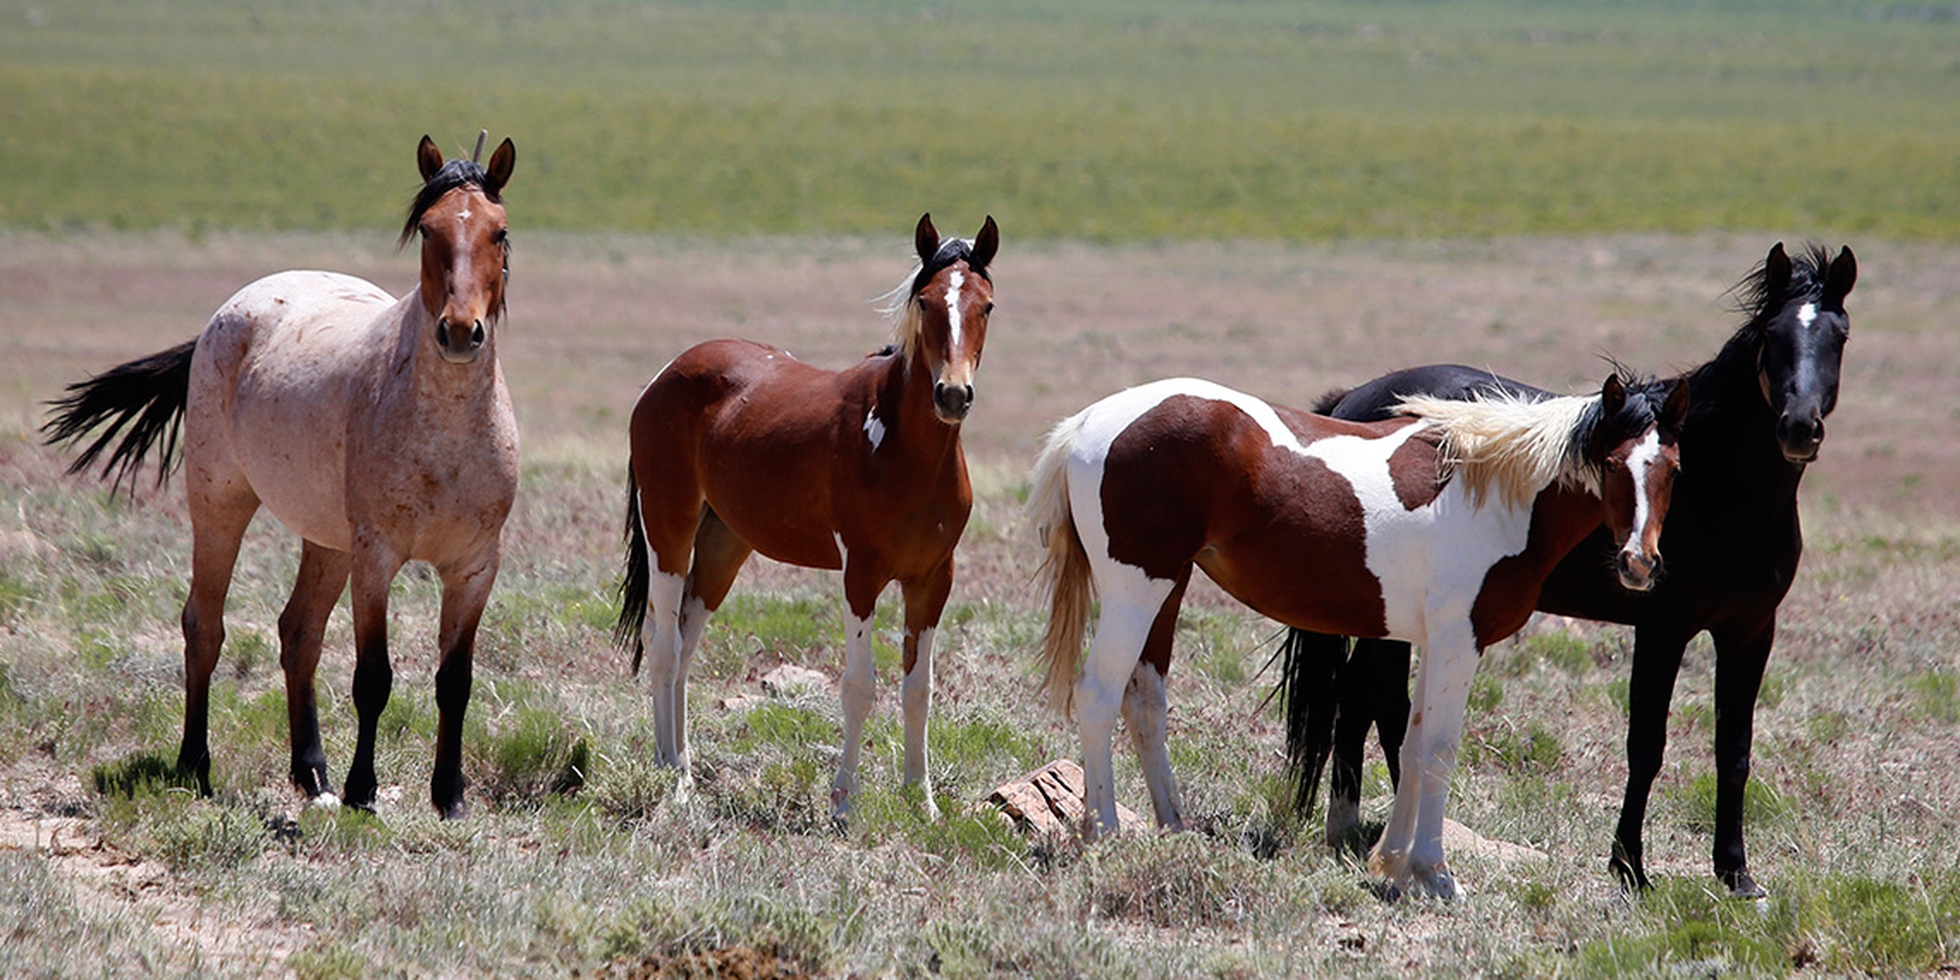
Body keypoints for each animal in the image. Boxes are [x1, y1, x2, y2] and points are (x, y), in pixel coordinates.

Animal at [44, 134, 520, 819]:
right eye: (429, 229)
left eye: (499, 233)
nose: (459, 332)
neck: (448, 432)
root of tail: (233, 309)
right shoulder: (377, 560)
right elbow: (373, 677)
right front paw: (362, 792)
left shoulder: (475, 568)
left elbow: (455, 681)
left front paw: (449, 797)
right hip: (221, 505)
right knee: (204, 627)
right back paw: (196, 764)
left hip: (326, 540)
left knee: (299, 633)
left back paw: (311, 772)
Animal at [614, 213, 998, 821]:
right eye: (927, 301)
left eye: (986, 305)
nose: (953, 394)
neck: (902, 447)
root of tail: (665, 375)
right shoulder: (861, 574)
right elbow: (859, 686)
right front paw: (844, 801)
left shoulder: (933, 578)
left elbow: (918, 689)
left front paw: (921, 799)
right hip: (668, 531)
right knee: (664, 647)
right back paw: (672, 776)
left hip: (723, 546)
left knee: (683, 642)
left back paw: (681, 764)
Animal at [1029, 371, 1688, 899]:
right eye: (1611, 464)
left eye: (1673, 468)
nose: (1640, 564)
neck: (1497, 490)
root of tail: (1091, 421)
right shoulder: (1460, 639)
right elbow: (1437, 748)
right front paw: (1436, 875)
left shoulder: (1433, 641)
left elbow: (1412, 744)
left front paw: (1395, 863)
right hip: (1135, 589)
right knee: (1099, 696)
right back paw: (1103, 832)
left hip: (1167, 588)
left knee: (1145, 700)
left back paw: (1174, 826)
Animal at [1289, 242, 1855, 899]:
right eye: (1772, 333)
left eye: (1839, 334)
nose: (1799, 427)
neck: (1724, 489)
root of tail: (1353, 398)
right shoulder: (1663, 628)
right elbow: (1647, 745)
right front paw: (1630, 867)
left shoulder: (1751, 630)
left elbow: (1734, 750)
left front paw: (1736, 873)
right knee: (1381, 701)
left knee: (1356, 697)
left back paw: (1349, 829)